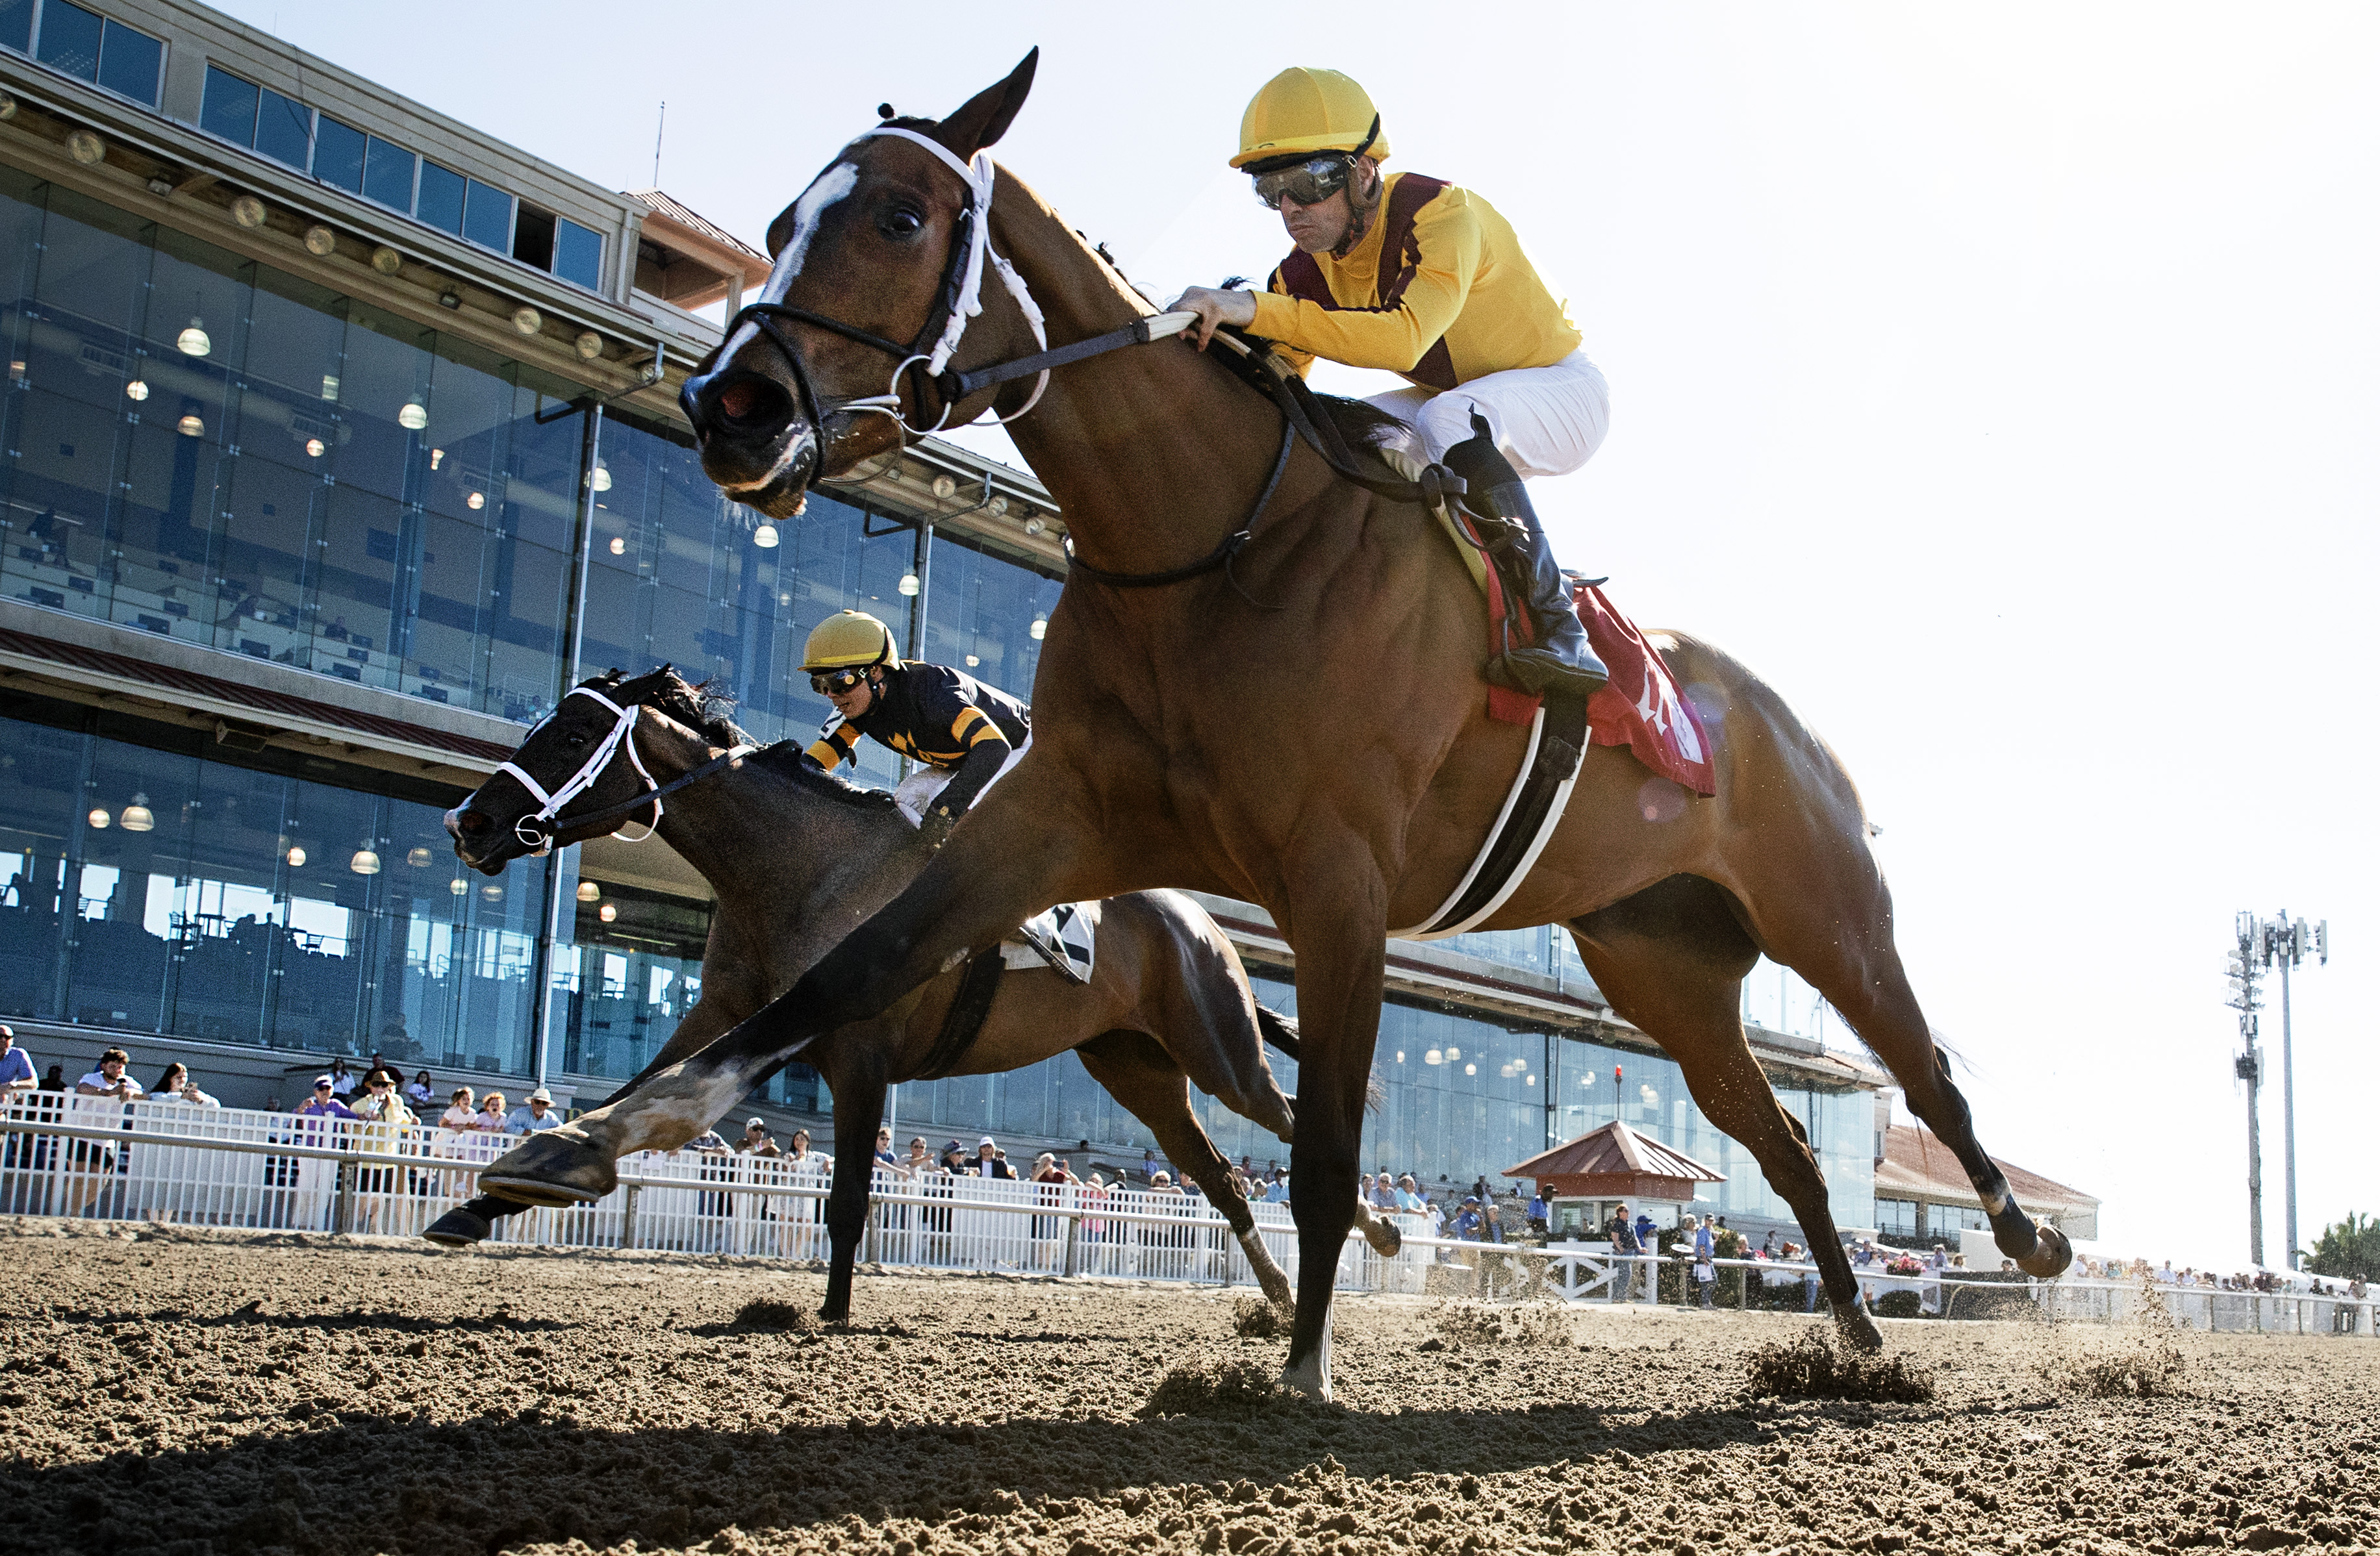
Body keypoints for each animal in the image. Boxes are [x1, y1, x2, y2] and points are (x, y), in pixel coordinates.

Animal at [433, 664, 1400, 1318]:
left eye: (567, 737)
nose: (467, 824)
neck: (804, 869)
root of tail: (1202, 922)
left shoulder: (858, 1051)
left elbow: (850, 1196)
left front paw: (829, 1314)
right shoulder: (726, 1013)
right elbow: (638, 1089)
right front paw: (487, 1201)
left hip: (1217, 1047)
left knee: (1280, 1118)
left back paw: (1377, 1232)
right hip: (1135, 1068)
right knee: (1223, 1178)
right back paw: (1278, 1295)